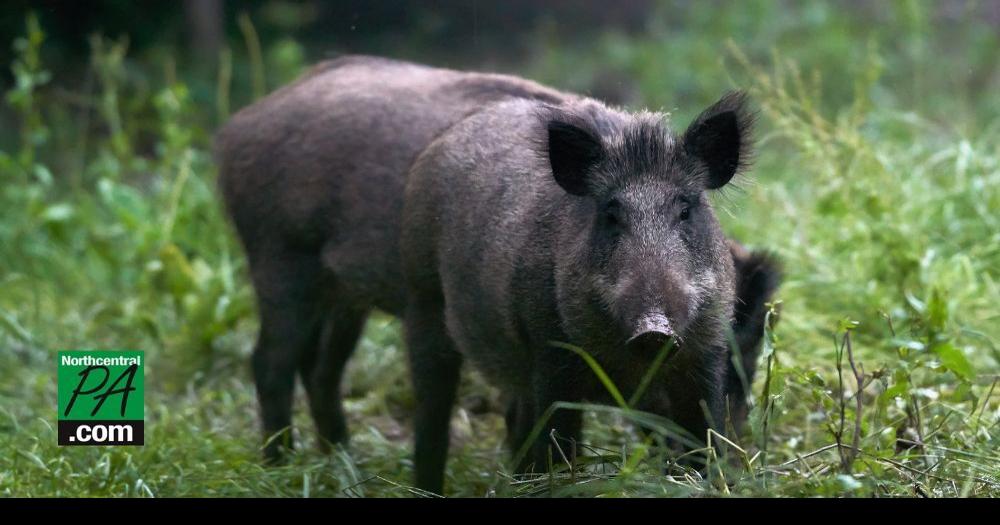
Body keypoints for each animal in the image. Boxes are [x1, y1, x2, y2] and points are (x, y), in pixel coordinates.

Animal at [215, 55, 779, 494]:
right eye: (610, 216)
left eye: (687, 209)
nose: (655, 329)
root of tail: (238, 125)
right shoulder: (550, 360)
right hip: (287, 263)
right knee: (272, 363)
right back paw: (281, 469)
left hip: (343, 295)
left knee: (320, 370)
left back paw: (341, 464)